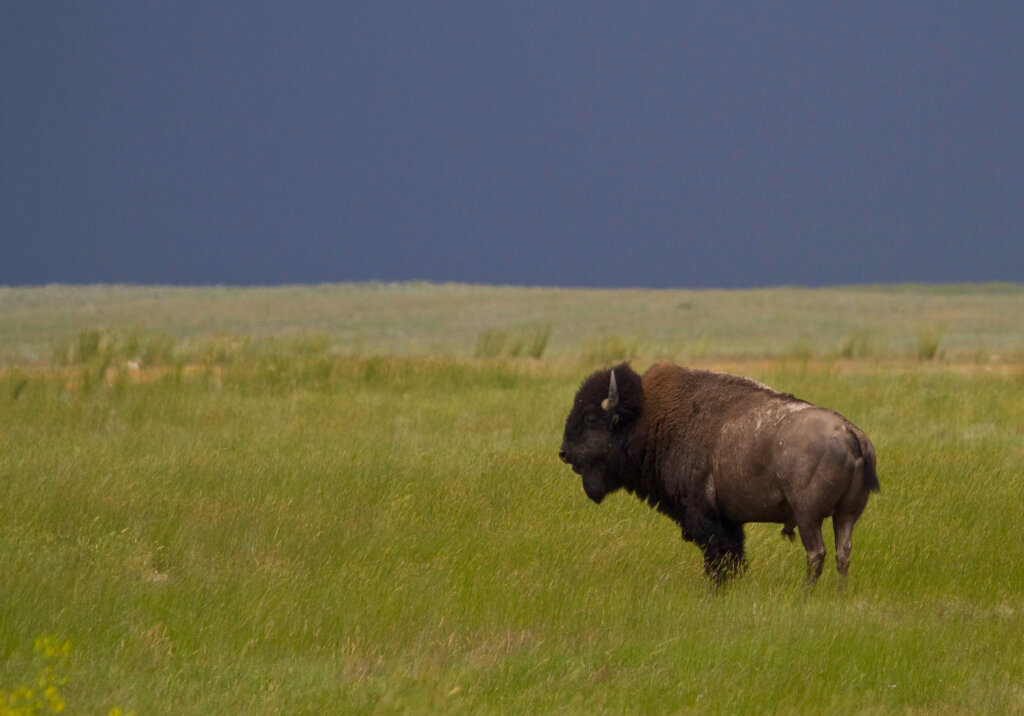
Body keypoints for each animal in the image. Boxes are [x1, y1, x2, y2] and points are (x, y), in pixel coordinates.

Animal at [558, 362, 879, 587]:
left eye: (590, 418)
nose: (564, 453)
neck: (647, 419)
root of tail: (851, 433)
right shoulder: (729, 519)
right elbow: (735, 553)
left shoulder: (702, 514)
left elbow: (717, 555)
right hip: (845, 515)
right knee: (842, 552)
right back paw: (838, 591)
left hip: (807, 516)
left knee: (817, 553)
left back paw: (805, 593)